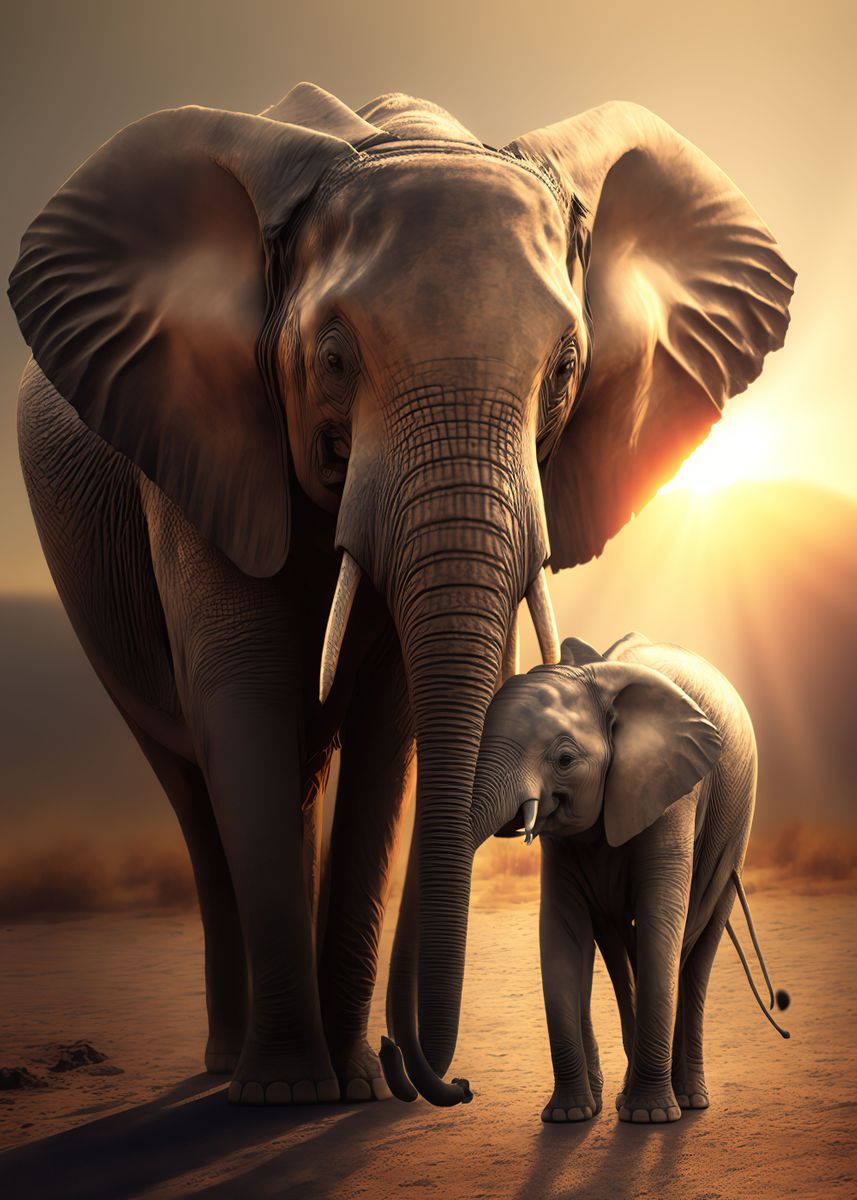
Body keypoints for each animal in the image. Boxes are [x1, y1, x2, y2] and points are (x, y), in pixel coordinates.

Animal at [468, 632, 789, 1124]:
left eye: (565, 759)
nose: (461, 1089)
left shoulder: (671, 790)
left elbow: (660, 918)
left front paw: (650, 1118)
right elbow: (562, 933)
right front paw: (568, 1116)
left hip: (735, 829)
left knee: (696, 946)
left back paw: (688, 1101)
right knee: (621, 949)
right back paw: (626, 1095)